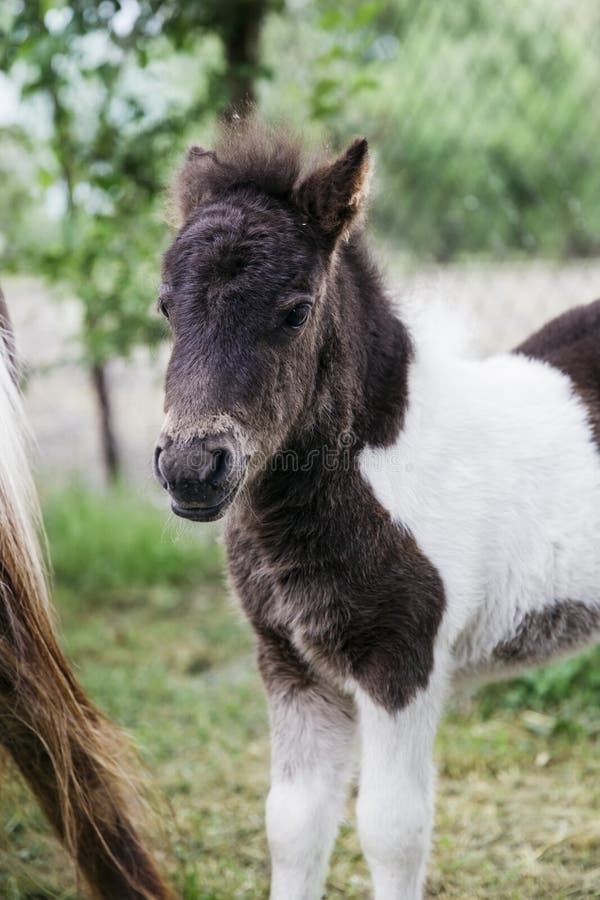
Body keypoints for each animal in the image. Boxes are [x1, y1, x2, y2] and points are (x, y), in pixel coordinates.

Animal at [153, 122, 600, 900]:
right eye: (165, 306)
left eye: (297, 309)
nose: (190, 469)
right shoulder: (291, 665)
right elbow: (292, 824)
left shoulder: (401, 661)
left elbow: (391, 830)